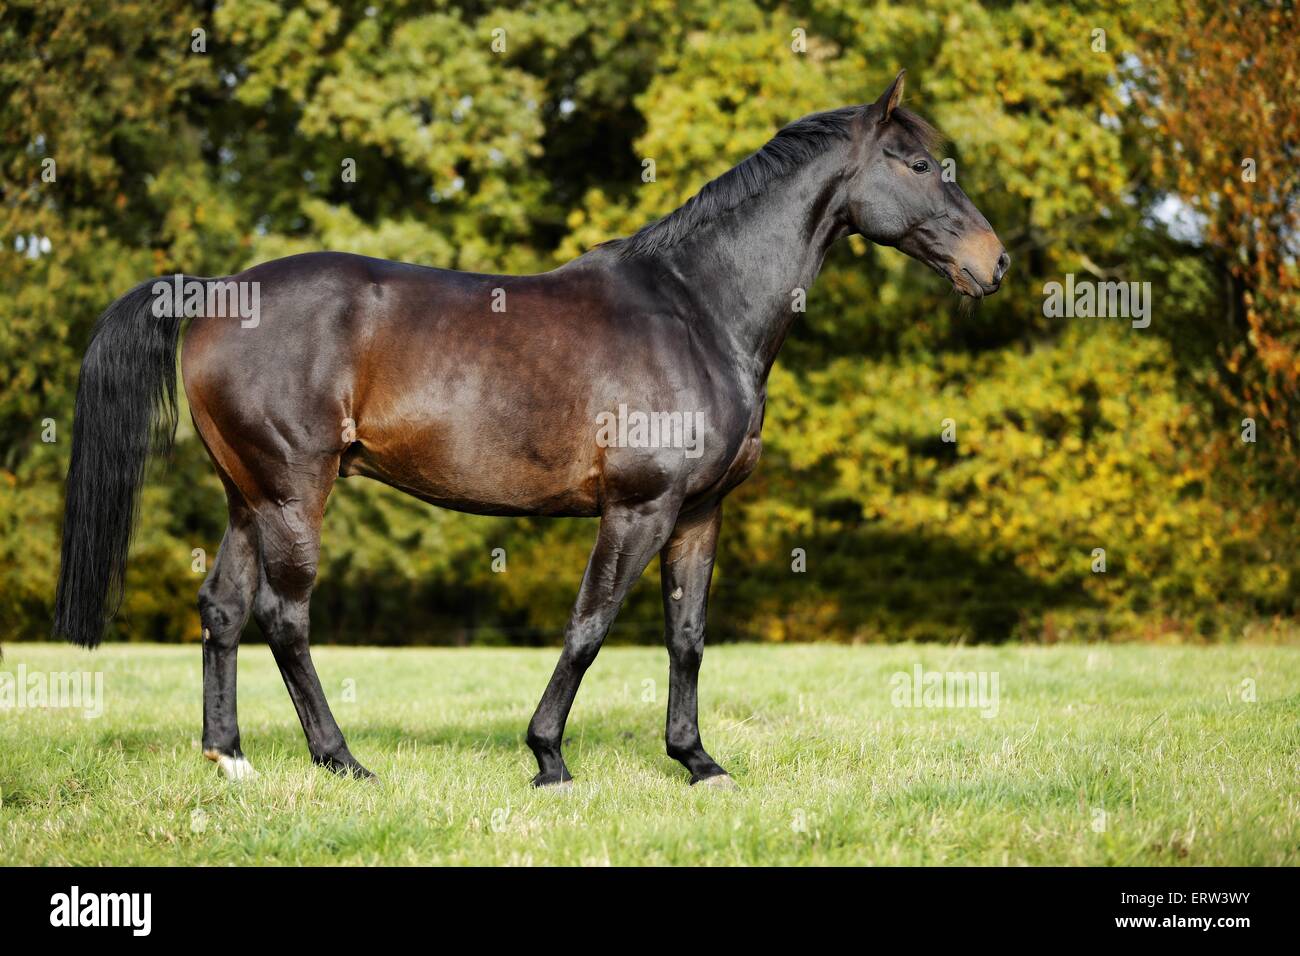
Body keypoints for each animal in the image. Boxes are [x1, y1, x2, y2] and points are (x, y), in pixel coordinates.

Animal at [53, 71, 1007, 787]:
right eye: (921, 163)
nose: (993, 263)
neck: (698, 308)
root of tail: (216, 291)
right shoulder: (638, 509)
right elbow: (589, 627)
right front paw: (548, 757)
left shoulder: (699, 515)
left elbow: (687, 637)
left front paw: (697, 762)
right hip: (293, 493)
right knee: (283, 617)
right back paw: (342, 761)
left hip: (248, 495)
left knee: (221, 608)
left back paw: (231, 759)